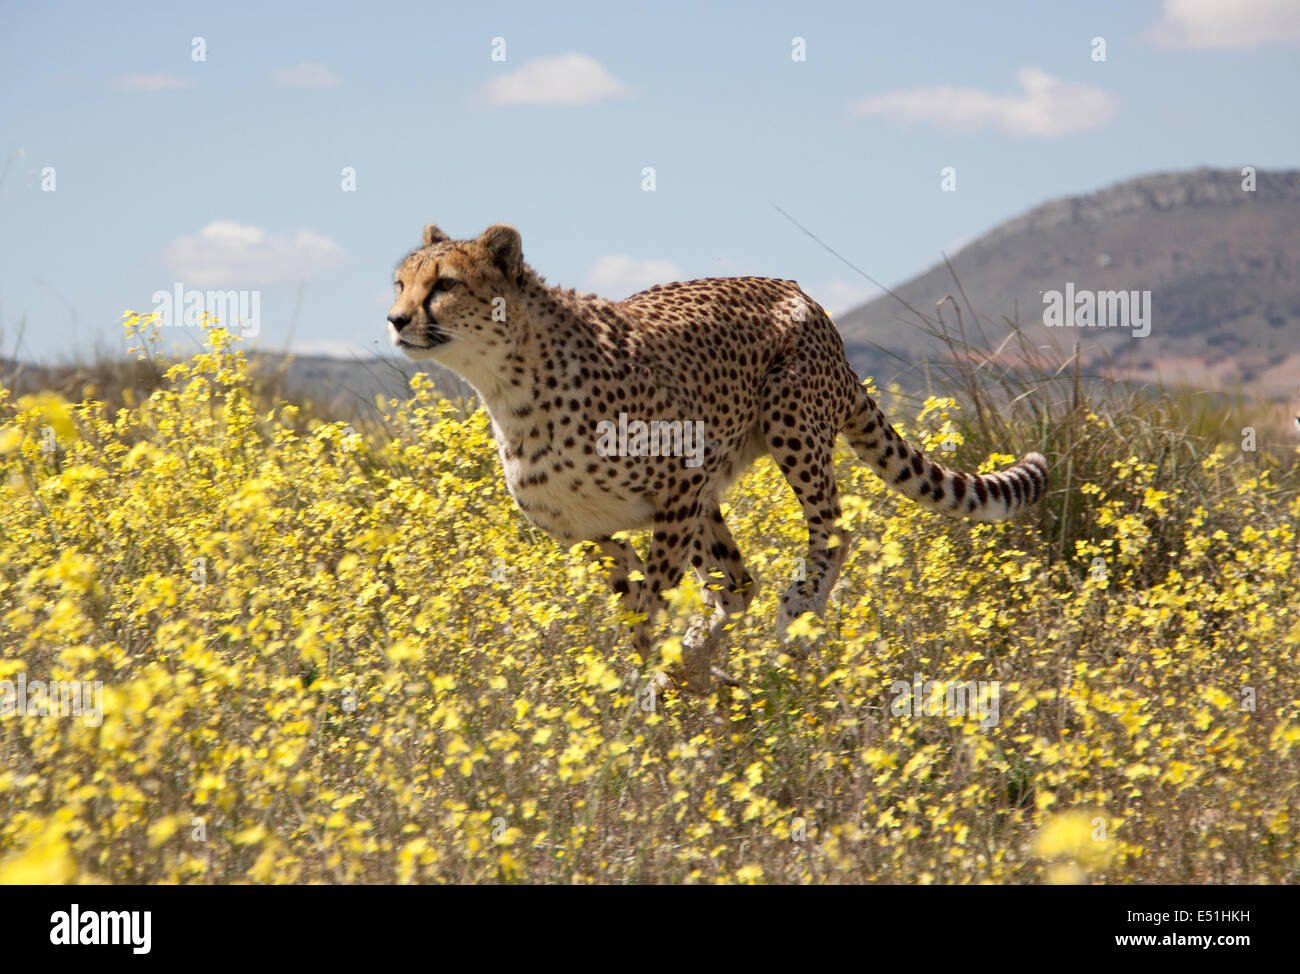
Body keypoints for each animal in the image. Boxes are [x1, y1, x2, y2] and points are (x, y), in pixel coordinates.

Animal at [387, 223, 1049, 693]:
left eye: (444, 284)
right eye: (400, 283)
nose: (395, 319)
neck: (508, 380)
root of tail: (798, 292)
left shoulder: (679, 484)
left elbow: (654, 599)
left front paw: (656, 682)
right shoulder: (591, 528)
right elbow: (636, 599)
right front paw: (675, 670)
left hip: (788, 421)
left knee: (828, 534)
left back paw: (795, 615)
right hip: (713, 491)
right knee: (739, 581)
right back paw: (706, 657)